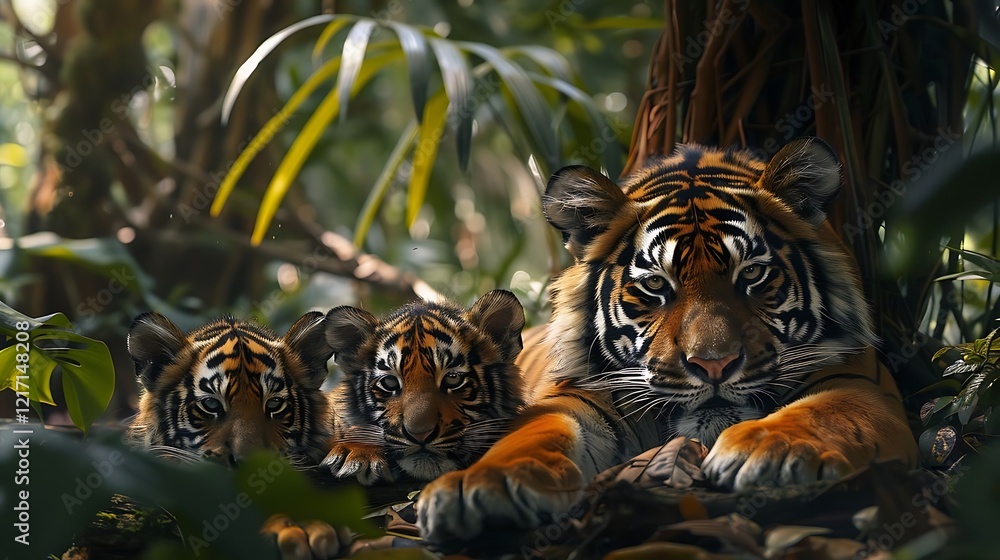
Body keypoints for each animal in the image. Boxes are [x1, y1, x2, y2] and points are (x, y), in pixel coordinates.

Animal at [416, 137, 919, 541]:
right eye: (657, 285)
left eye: (751, 275)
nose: (714, 365)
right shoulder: (575, 397)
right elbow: (533, 432)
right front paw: (480, 484)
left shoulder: (859, 381)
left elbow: (825, 411)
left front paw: (769, 448)